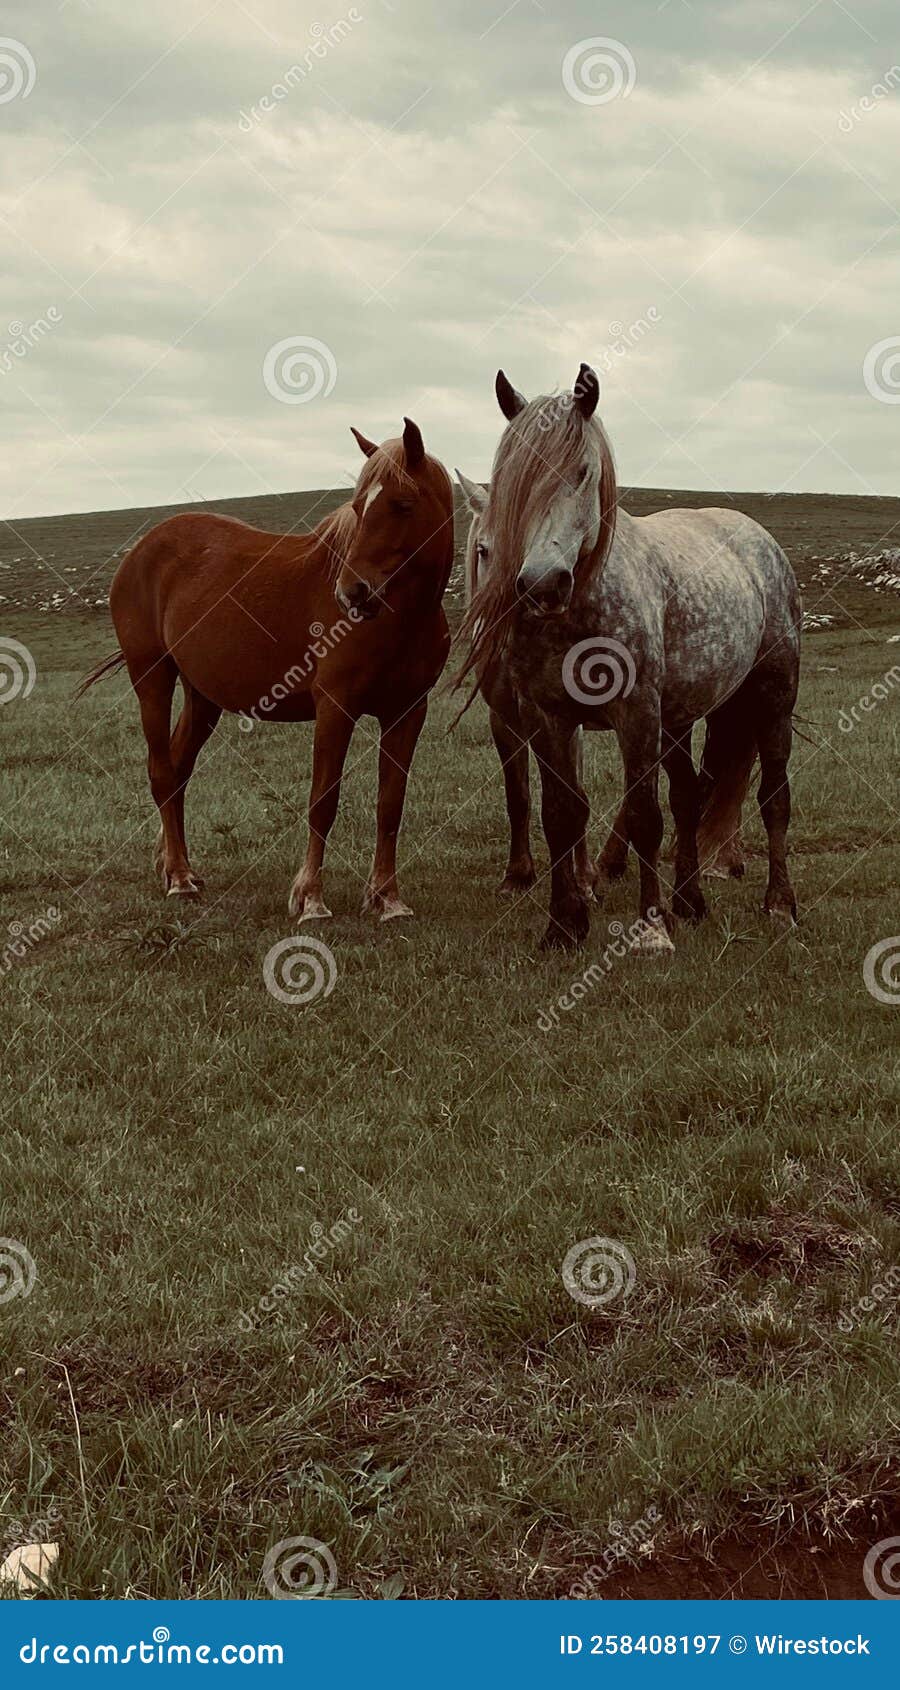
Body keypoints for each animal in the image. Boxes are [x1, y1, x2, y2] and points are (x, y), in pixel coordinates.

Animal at [79, 418, 454, 922]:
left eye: (403, 504)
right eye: (359, 507)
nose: (352, 593)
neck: (402, 619)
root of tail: (142, 550)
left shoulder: (408, 711)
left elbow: (390, 805)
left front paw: (388, 898)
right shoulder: (335, 709)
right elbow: (323, 801)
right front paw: (310, 897)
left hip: (202, 696)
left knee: (177, 773)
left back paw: (179, 866)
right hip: (152, 678)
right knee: (161, 773)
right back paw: (178, 878)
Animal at [458, 365, 800, 953]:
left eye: (583, 471)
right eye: (512, 478)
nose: (542, 584)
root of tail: (760, 540)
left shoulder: (636, 712)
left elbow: (644, 816)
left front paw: (650, 929)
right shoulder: (546, 716)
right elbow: (561, 814)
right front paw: (564, 925)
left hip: (770, 698)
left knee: (772, 797)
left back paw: (777, 905)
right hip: (679, 719)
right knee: (690, 795)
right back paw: (689, 901)